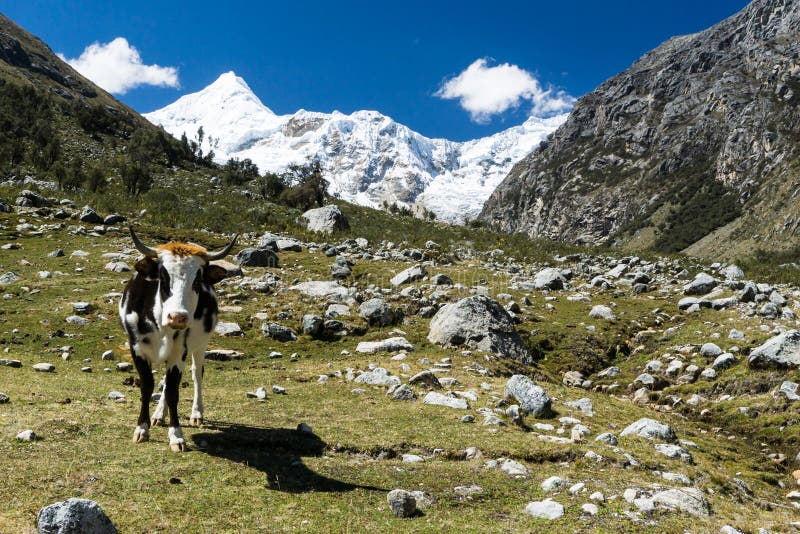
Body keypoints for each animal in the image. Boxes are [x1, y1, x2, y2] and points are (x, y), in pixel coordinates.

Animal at [119, 227, 238, 451]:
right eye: (163, 277)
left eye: (197, 281)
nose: (178, 317)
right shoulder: (136, 348)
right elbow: (147, 386)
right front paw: (142, 429)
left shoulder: (179, 351)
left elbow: (173, 391)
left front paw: (176, 436)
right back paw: (159, 415)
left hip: (200, 345)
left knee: (197, 373)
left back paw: (196, 413)